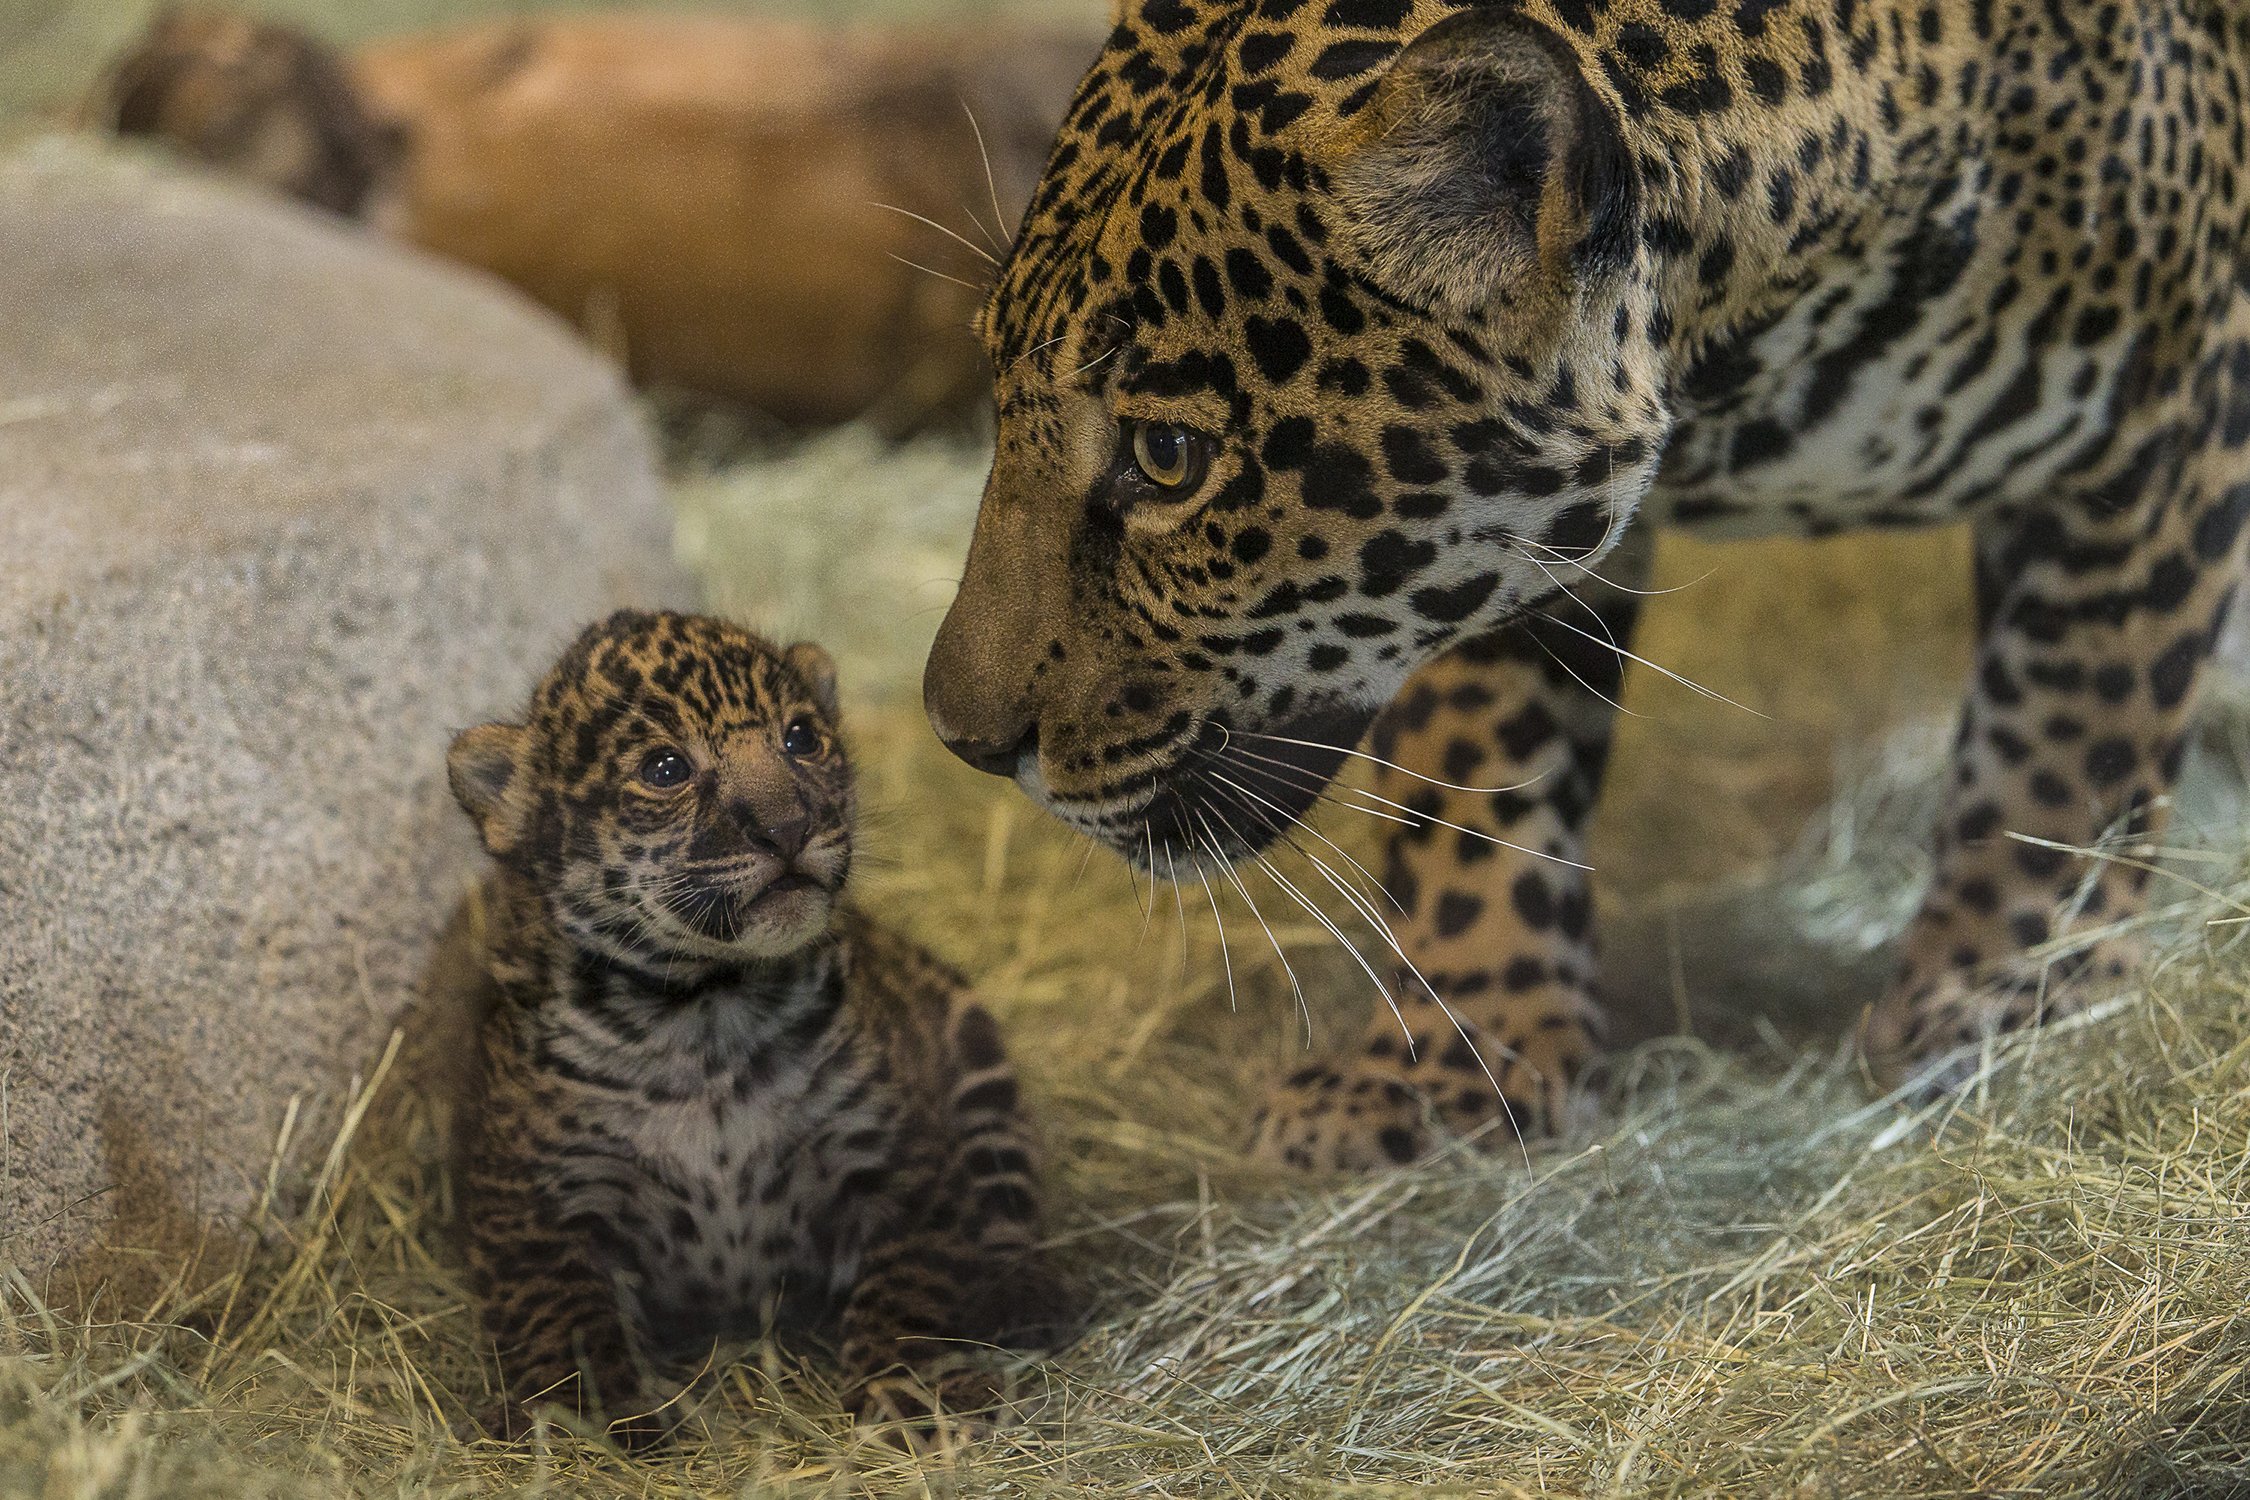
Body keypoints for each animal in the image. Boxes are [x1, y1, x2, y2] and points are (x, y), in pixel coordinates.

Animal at [447, 609, 1069, 1446]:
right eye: (665, 769)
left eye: (801, 738)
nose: (788, 827)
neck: (709, 1013)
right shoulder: (535, 1203)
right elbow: (561, 1320)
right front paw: (591, 1418)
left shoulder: (901, 1157)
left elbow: (912, 1285)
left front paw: (908, 1387)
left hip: (973, 1051)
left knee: (1005, 1185)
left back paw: (1026, 1295)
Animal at [919, 0, 2250, 1171]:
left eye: (1168, 457)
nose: (961, 738)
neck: (1732, 357)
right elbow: (1471, 773)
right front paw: (1467, 1055)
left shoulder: (2169, 407)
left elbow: (2069, 737)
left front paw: (2008, 1003)